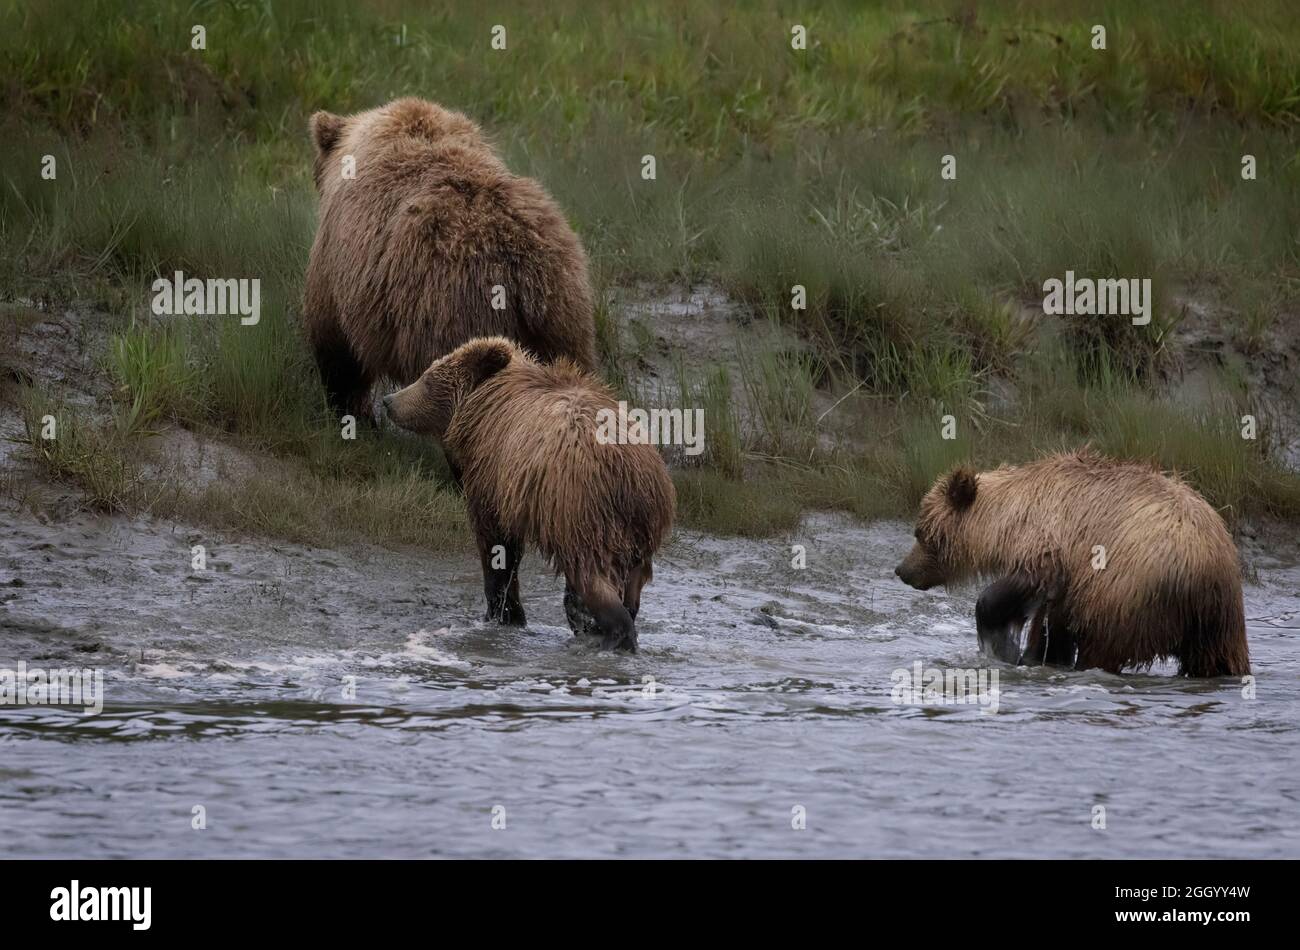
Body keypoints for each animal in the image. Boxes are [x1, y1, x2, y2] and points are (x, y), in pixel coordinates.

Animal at [304, 97, 596, 421]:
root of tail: (526, 270)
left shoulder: (335, 261)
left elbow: (335, 342)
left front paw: (351, 410)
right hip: (566, 318)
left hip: (453, 311)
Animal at [381, 336, 675, 652]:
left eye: (428, 378)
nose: (389, 401)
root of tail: (631, 474)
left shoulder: (493, 477)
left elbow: (497, 545)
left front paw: (501, 614)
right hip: (641, 526)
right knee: (629, 582)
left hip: (580, 508)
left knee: (590, 576)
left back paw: (608, 635)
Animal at [893, 451, 1250, 678]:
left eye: (920, 532)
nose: (902, 570)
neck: (1006, 518)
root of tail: (1203, 573)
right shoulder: (1069, 583)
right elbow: (1052, 626)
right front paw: (1038, 658)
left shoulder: (1053, 546)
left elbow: (1026, 587)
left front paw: (1001, 643)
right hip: (1222, 619)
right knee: (1219, 658)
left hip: (1130, 592)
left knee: (1104, 644)